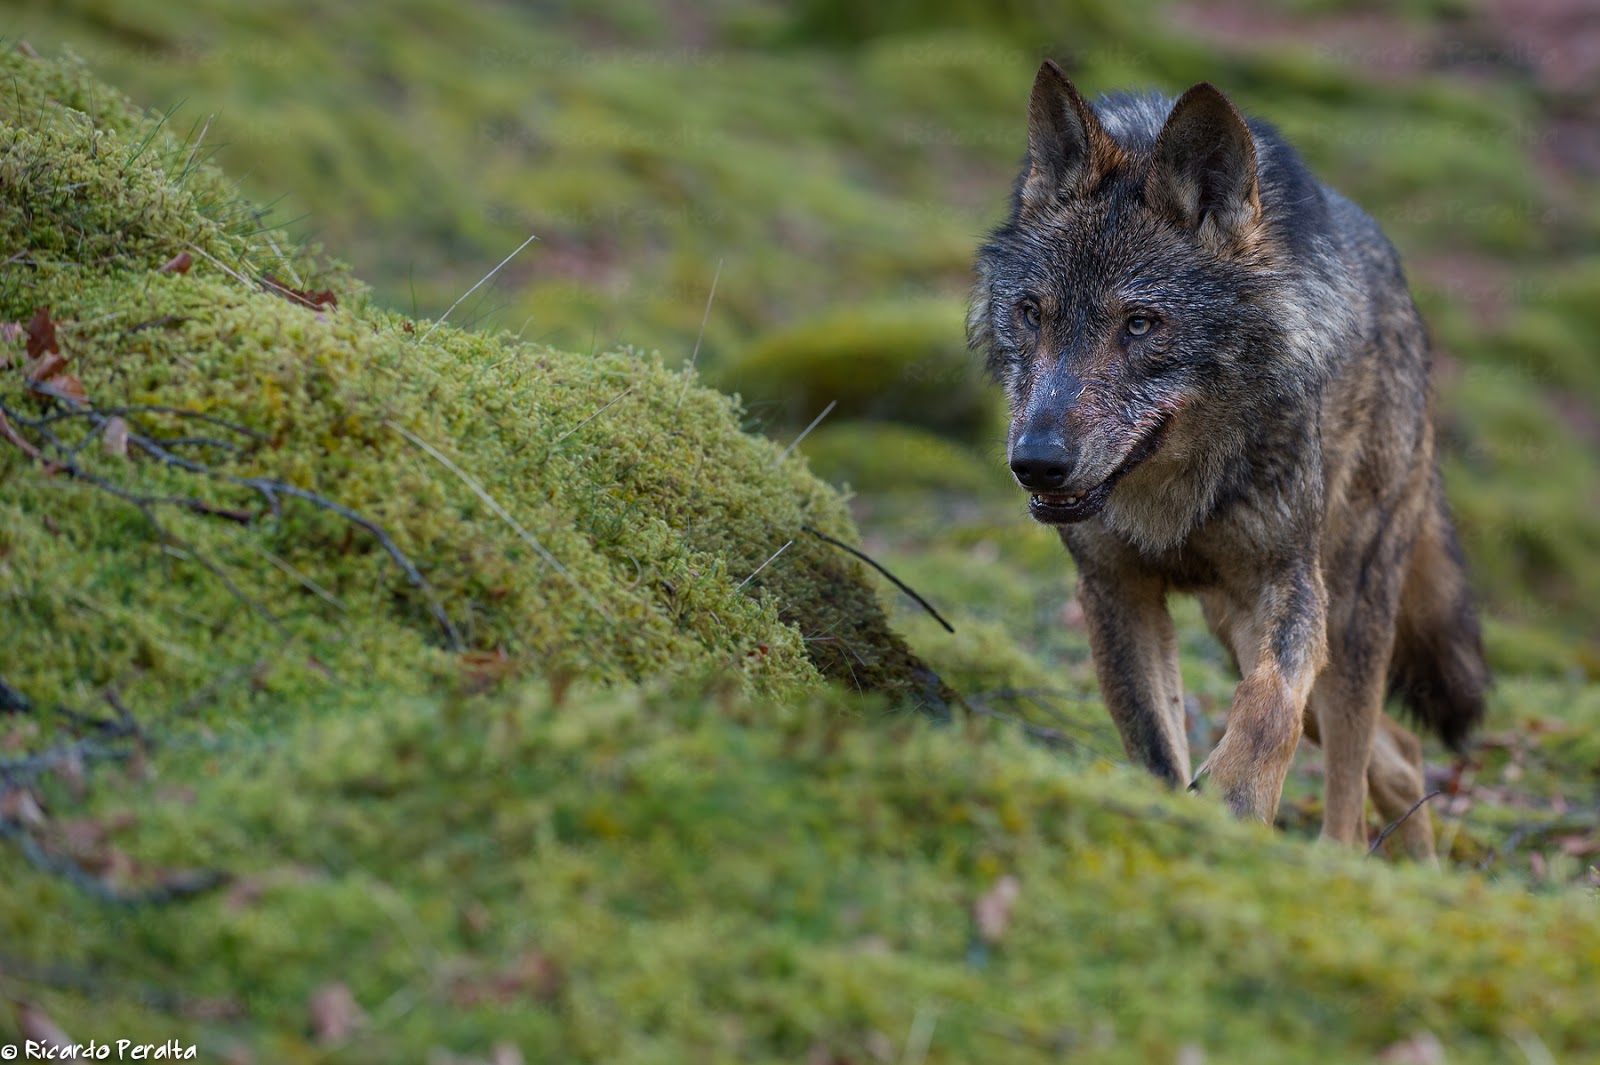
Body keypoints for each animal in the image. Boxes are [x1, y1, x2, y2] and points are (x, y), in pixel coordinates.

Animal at [967, 62, 1488, 857]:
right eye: (1032, 312)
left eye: (1141, 324)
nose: (1037, 462)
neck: (1174, 497)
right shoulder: (1115, 593)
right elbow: (1157, 749)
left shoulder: (1289, 582)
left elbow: (1268, 706)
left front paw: (1233, 799)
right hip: (1230, 621)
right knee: (1399, 751)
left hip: (1349, 608)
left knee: (1353, 770)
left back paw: (1342, 864)